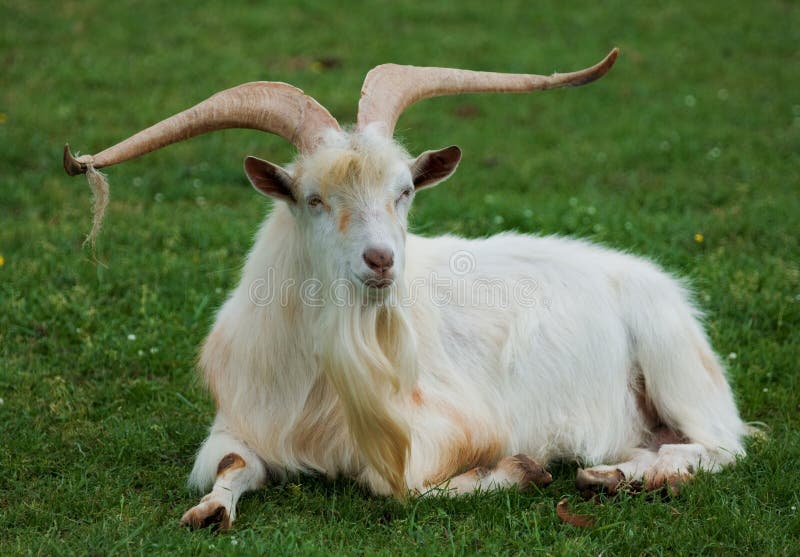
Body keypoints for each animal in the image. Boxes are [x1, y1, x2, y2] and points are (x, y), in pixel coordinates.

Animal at [63, 48, 749, 530]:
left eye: (405, 191)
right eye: (314, 198)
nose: (381, 260)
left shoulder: (449, 426)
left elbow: (398, 485)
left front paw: (523, 468)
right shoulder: (245, 418)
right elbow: (229, 464)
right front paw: (210, 512)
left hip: (675, 362)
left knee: (719, 446)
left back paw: (629, 477)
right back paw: (614, 474)